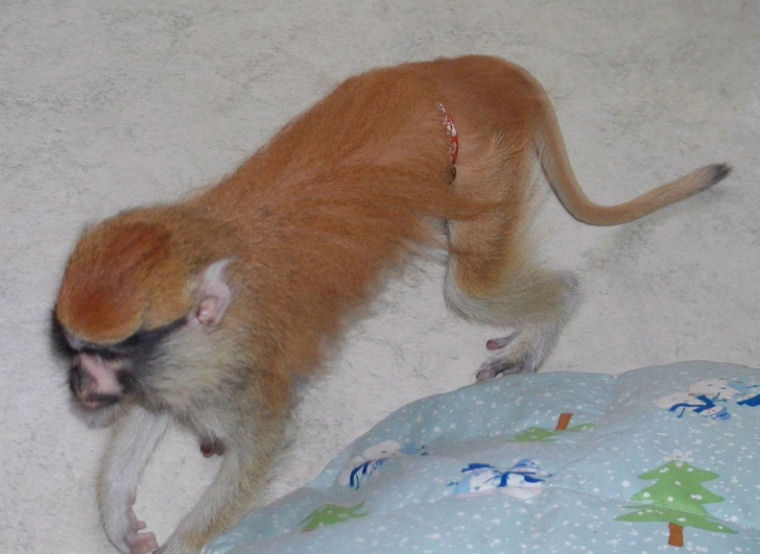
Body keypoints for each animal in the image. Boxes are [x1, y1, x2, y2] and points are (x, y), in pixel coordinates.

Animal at [52, 55, 729, 553]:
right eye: (79, 350)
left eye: (110, 356)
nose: (79, 386)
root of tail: (461, 74)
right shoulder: (187, 367)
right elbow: (155, 411)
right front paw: (117, 511)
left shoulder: (246, 371)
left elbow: (257, 450)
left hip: (480, 168)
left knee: (475, 287)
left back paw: (546, 314)